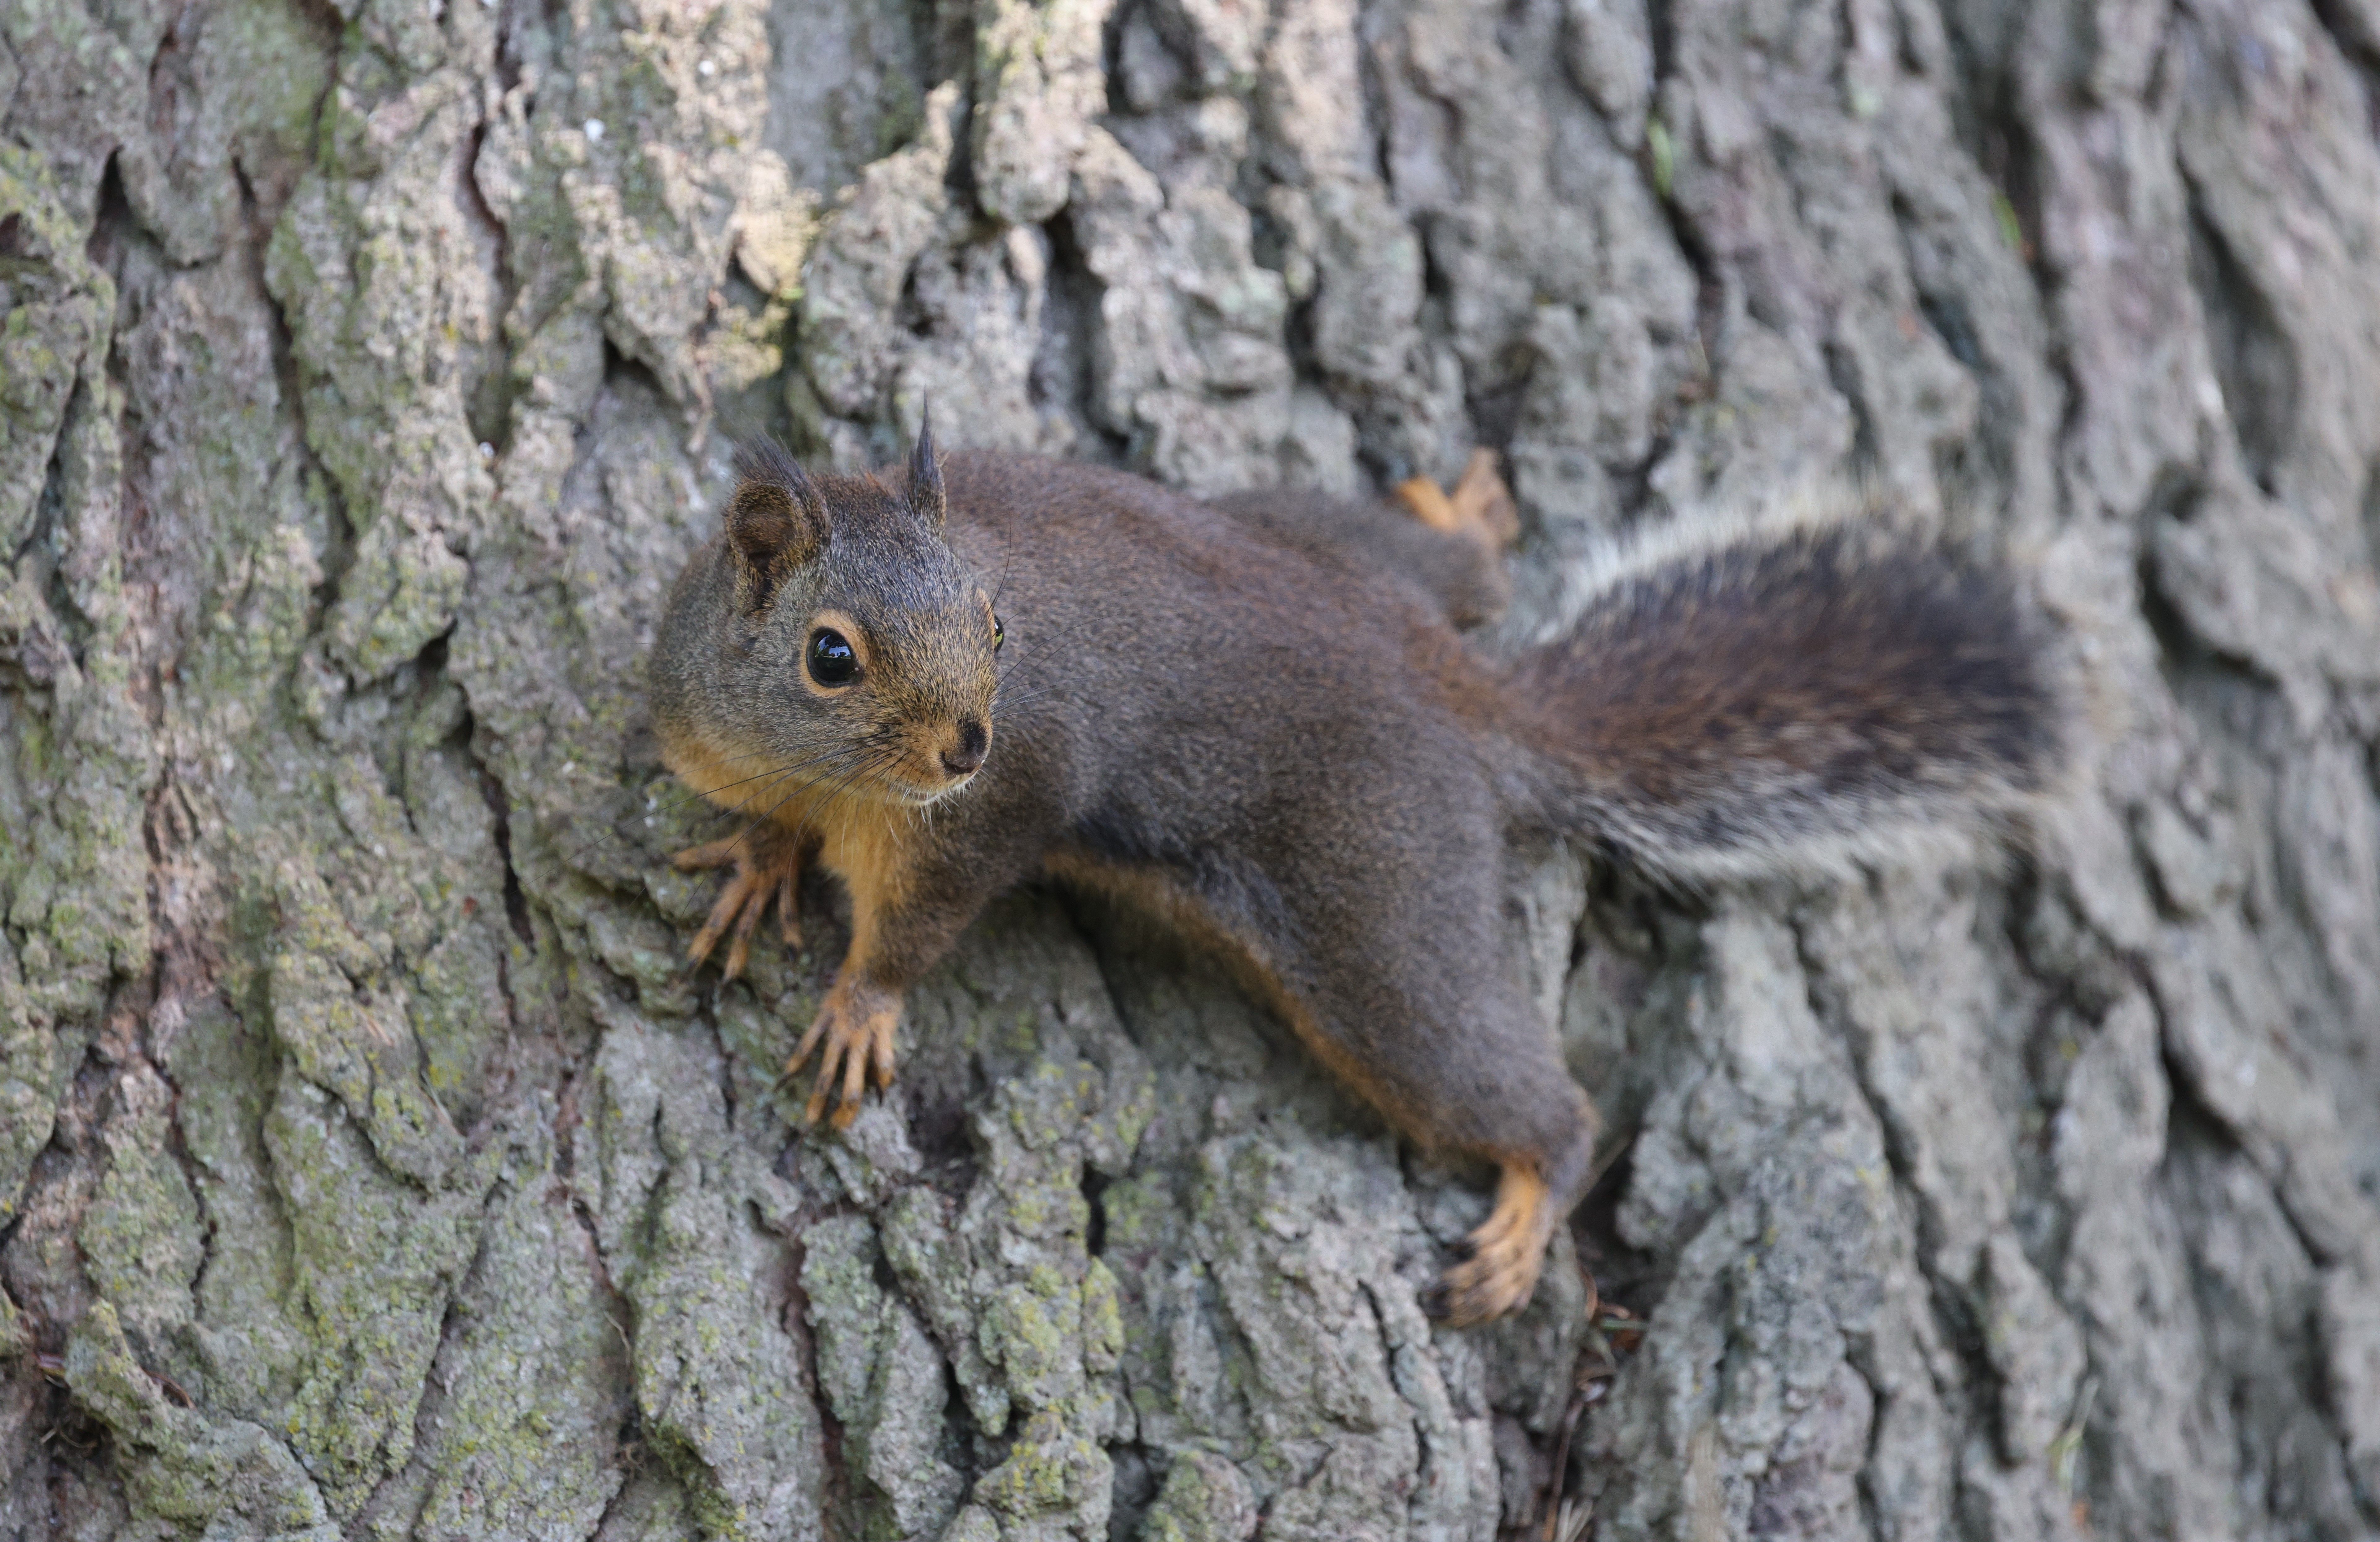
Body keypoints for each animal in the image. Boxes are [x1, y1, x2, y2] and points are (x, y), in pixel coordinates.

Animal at [646, 422, 2070, 1325]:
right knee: (1466, 573)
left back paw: (1526, 1212)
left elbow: (919, 925)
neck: (837, 779)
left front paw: (858, 1006)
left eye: (998, 624)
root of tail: (1471, 703)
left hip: (1379, 915)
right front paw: (760, 864)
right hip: (1308, 534)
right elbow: (769, 826)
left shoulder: (999, 811)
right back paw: (1455, 517)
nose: (966, 742)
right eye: (831, 655)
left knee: (1526, 1092)